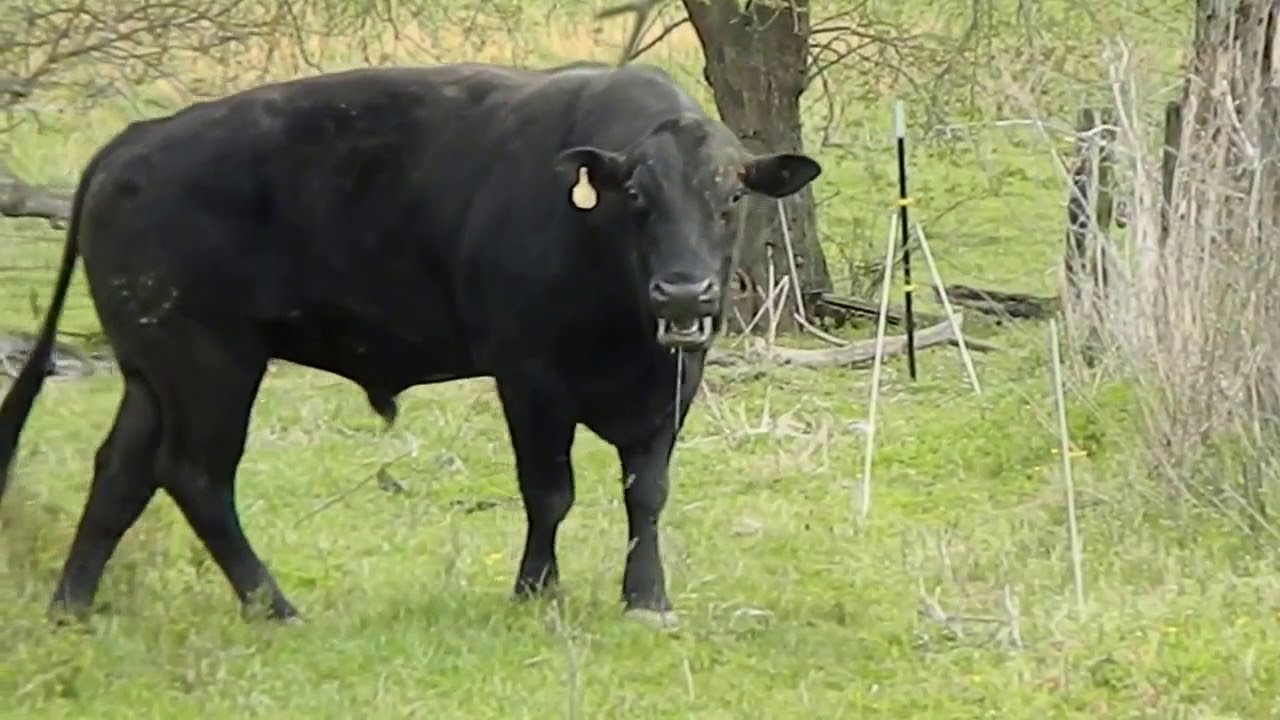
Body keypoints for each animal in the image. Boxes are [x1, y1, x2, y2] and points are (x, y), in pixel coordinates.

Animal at [0, 57, 821, 627]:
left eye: (732, 195)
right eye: (637, 196)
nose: (683, 291)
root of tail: (137, 139)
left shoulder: (674, 380)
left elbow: (645, 491)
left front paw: (646, 598)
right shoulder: (529, 379)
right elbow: (549, 491)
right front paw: (535, 591)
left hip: (156, 370)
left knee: (122, 472)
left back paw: (72, 605)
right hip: (210, 361)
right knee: (195, 475)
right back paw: (276, 607)